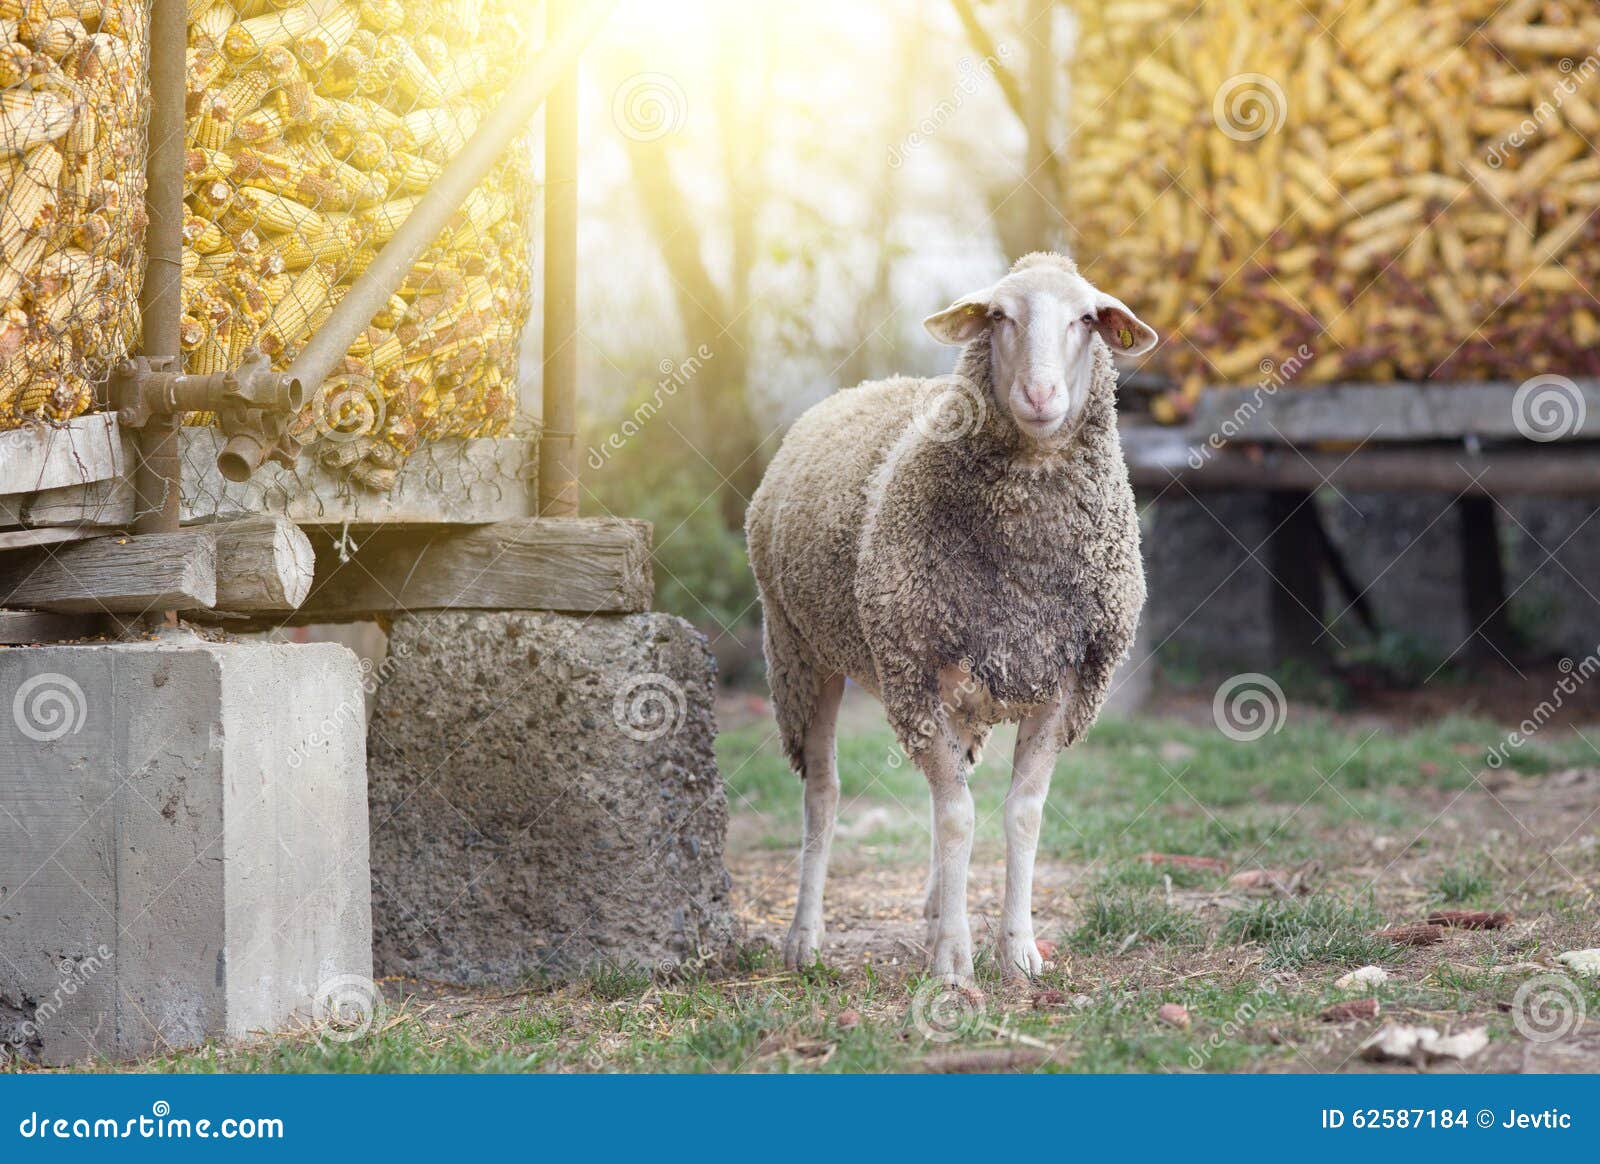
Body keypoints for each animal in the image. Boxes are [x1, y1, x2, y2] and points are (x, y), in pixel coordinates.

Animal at [745, 251, 1155, 984]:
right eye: (998, 316)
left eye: (1087, 319)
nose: (1041, 396)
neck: (1024, 566)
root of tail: (859, 387)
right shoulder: (916, 671)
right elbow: (958, 817)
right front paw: (954, 961)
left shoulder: (1066, 681)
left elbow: (1020, 814)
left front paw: (1017, 950)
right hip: (800, 653)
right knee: (824, 795)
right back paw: (804, 938)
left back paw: (938, 907)